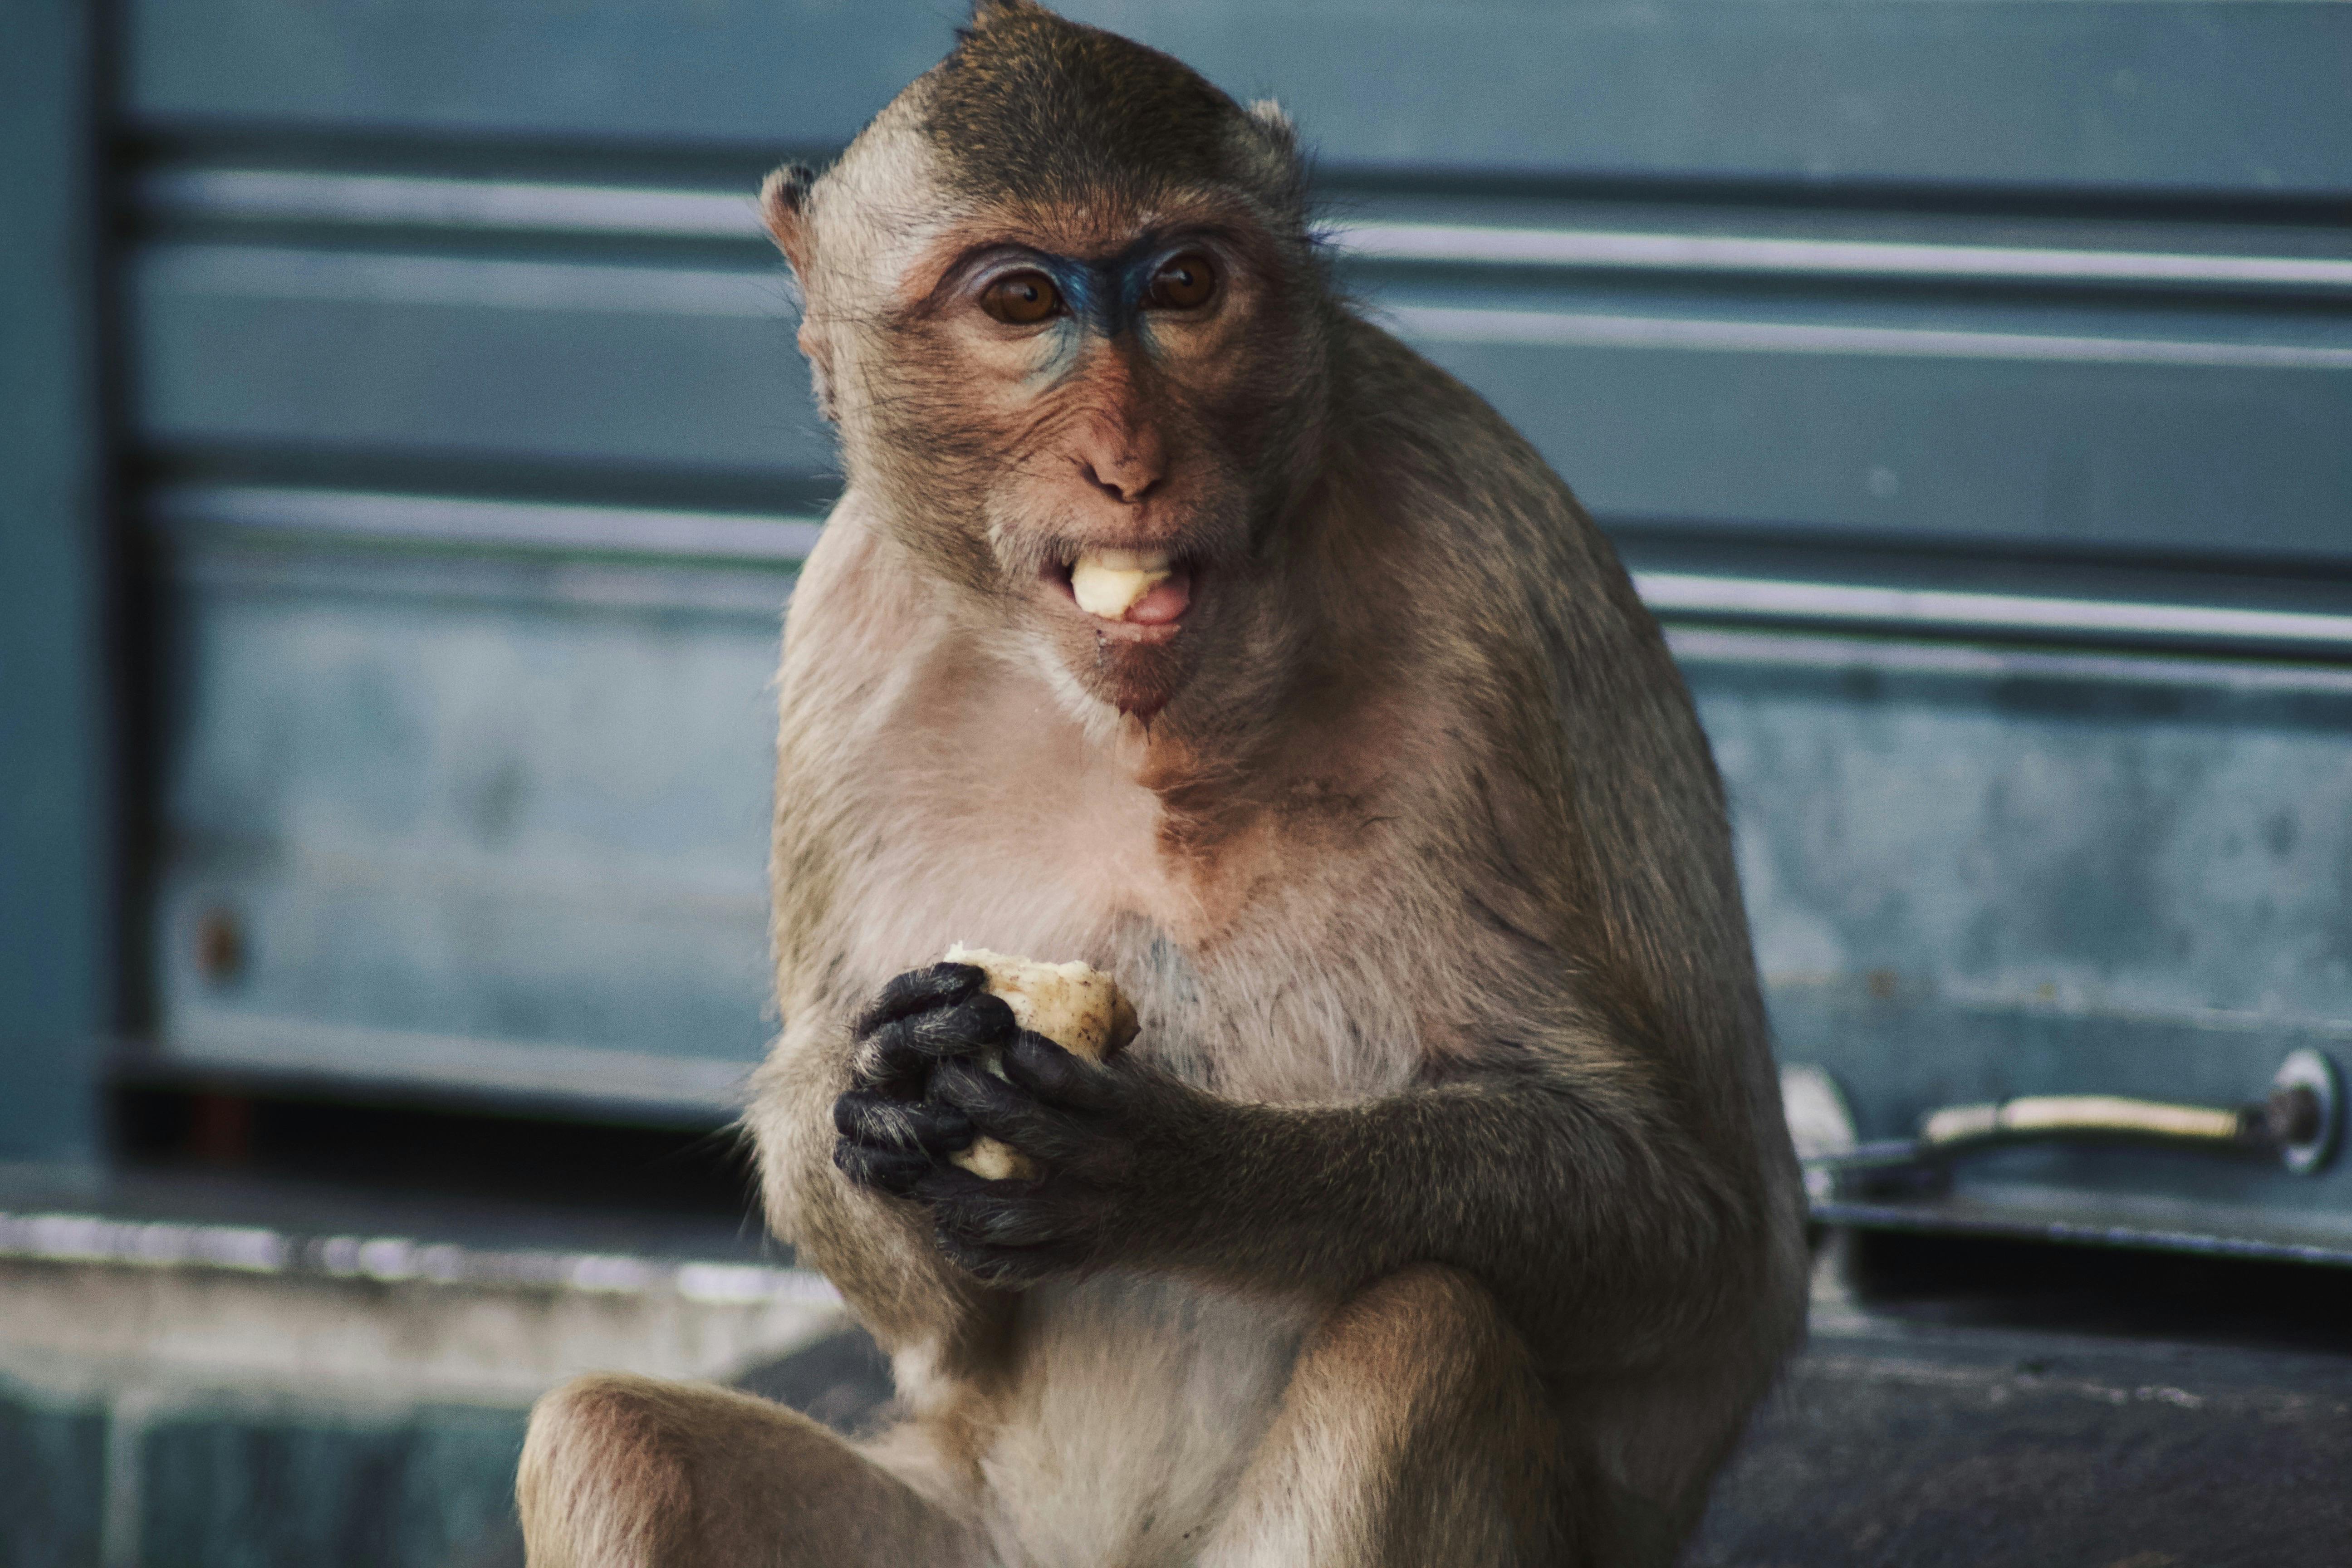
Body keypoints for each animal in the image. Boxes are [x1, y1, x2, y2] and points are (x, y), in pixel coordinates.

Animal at [516, 3, 1809, 1563]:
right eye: (1024, 302)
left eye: (1184, 284)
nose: (1129, 460)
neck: (1159, 732)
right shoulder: (840, 630)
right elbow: (930, 1325)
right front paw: (879, 1091)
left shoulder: (1497, 574)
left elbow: (1691, 1232)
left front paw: (1179, 1173)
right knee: (610, 1440)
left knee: (1422, 1335)